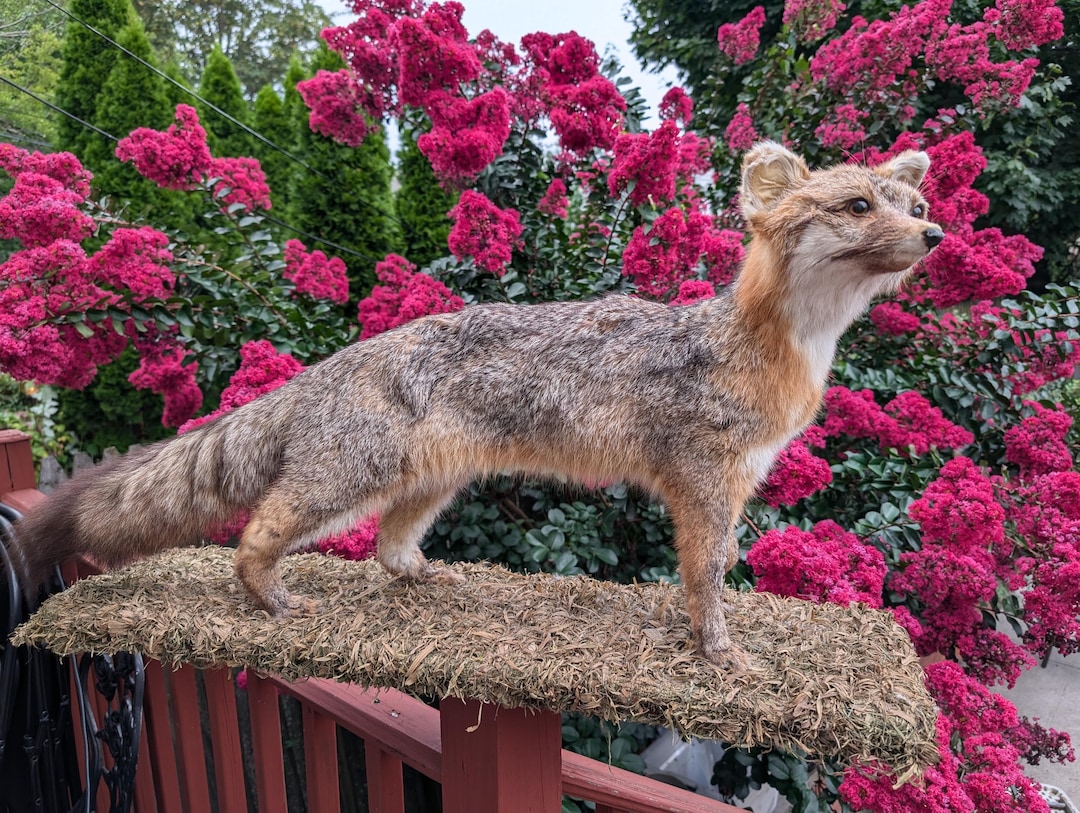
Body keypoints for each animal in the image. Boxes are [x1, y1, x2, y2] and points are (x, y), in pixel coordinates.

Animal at [7, 142, 943, 670]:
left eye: (914, 205)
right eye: (858, 206)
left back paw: (423, 574)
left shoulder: (733, 483)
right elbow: (705, 578)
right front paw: (717, 652)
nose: (936, 236)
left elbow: (710, 574)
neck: (771, 350)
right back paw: (267, 600)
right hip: (342, 484)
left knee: (386, 548)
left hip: (429, 487)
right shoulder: (701, 484)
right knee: (255, 534)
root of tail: (339, 358)